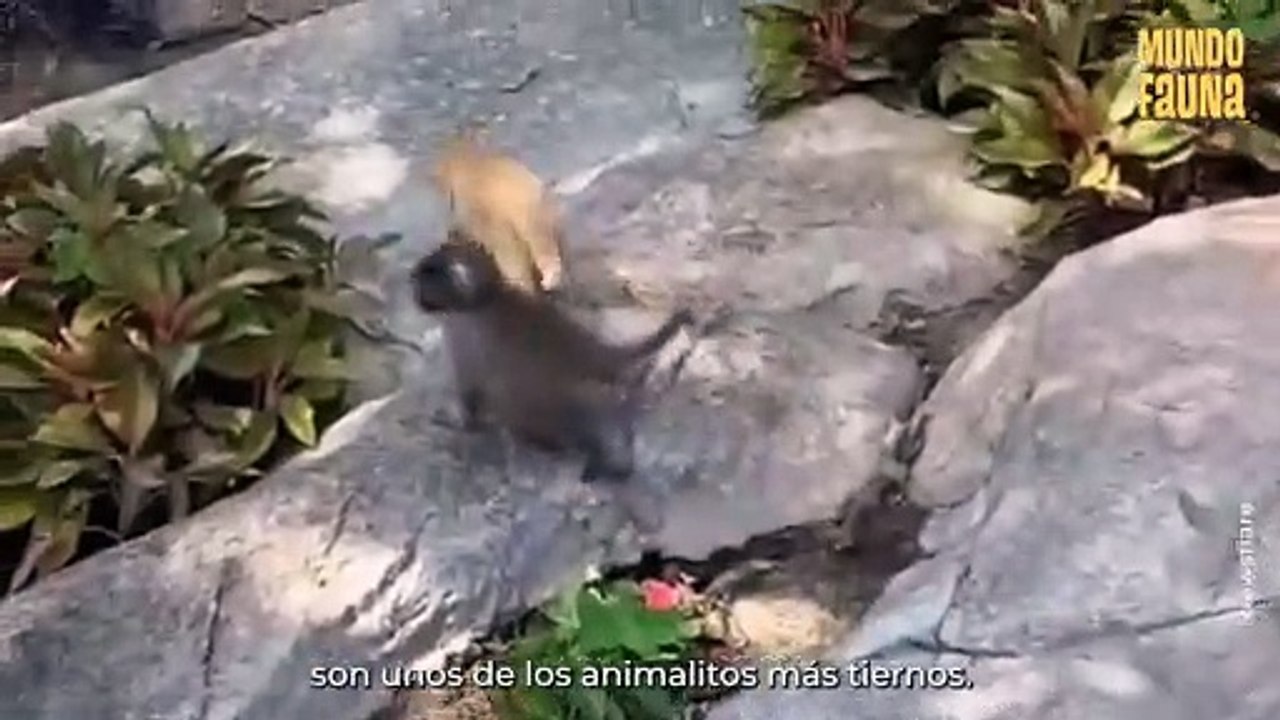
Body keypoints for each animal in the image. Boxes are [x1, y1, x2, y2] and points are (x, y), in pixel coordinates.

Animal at [411, 230, 693, 482]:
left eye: (425, 282)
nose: (416, 298)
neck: (488, 296)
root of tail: (580, 348)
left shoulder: (465, 340)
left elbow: (470, 396)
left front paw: (459, 423)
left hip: (536, 406)